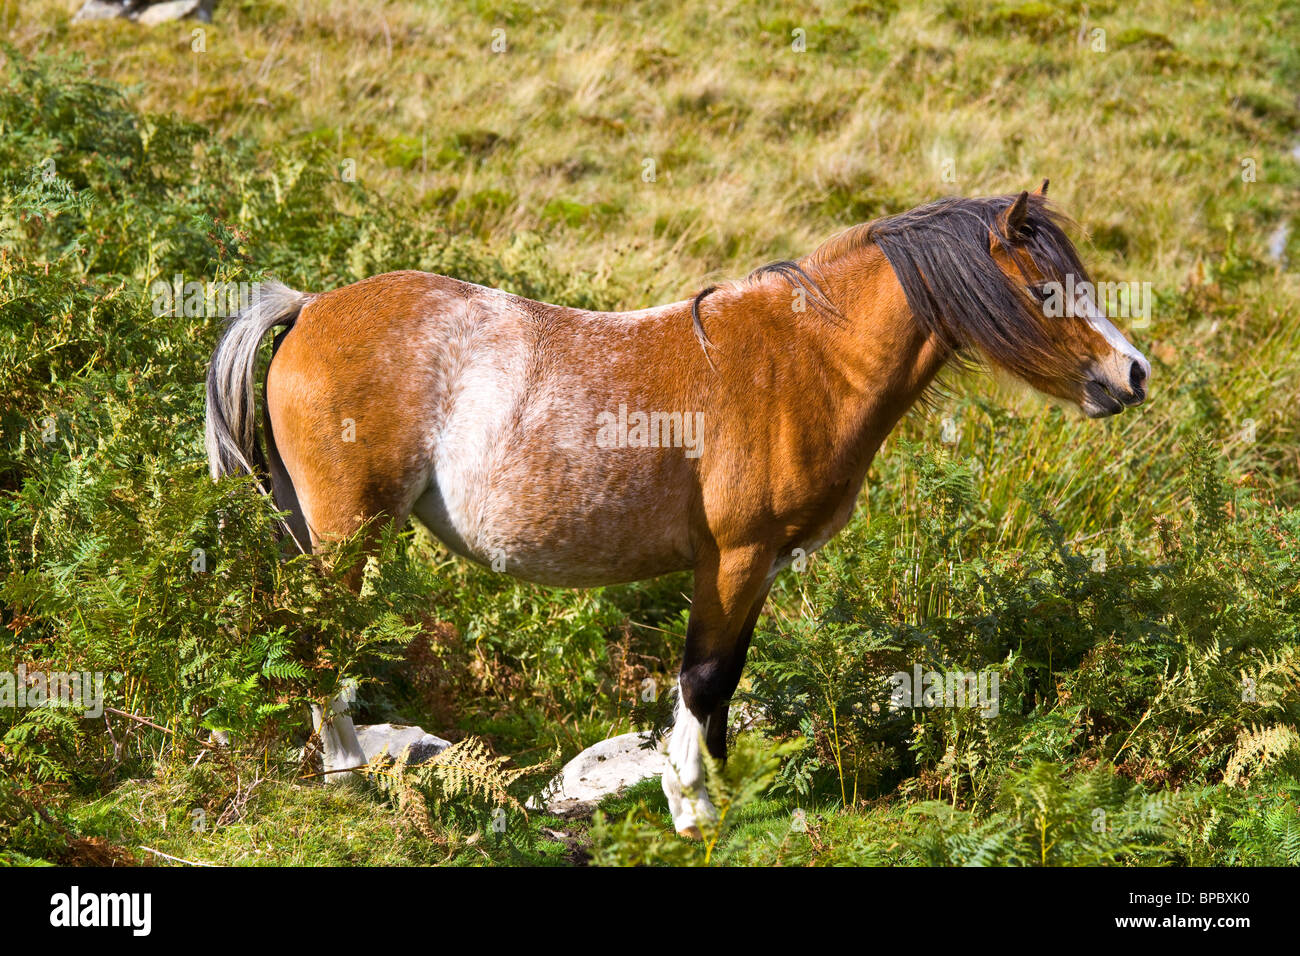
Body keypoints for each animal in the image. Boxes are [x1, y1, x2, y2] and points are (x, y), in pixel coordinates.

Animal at [205, 182, 1150, 838]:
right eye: (1046, 289)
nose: (1132, 374)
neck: (806, 359)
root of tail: (309, 309)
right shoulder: (736, 556)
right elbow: (705, 680)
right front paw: (694, 808)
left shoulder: (749, 566)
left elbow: (721, 688)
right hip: (346, 533)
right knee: (320, 637)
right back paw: (346, 772)